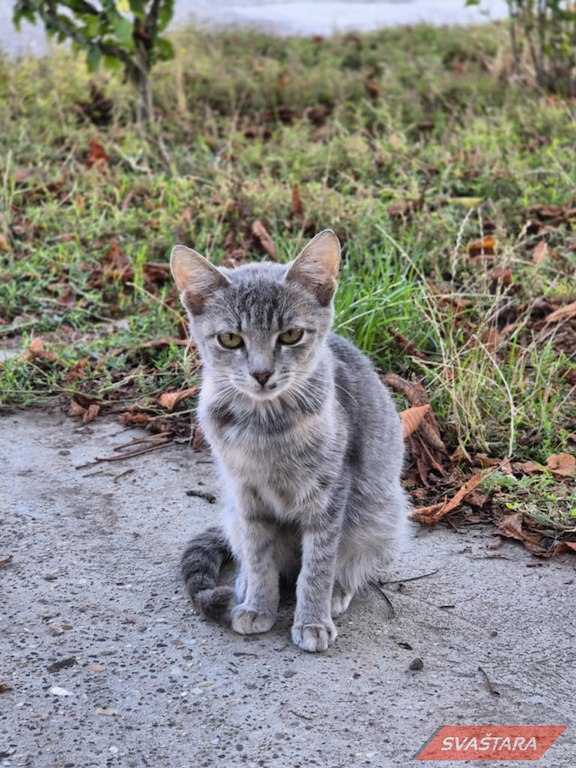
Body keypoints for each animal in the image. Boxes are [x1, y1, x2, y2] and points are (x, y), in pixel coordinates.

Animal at [170, 231, 404, 652]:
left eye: (291, 334)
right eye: (230, 339)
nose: (262, 373)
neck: (265, 430)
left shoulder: (330, 495)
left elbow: (318, 565)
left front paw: (312, 619)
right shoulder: (245, 496)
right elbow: (258, 556)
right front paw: (258, 605)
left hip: (379, 517)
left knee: (349, 563)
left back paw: (337, 591)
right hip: (232, 512)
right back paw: (244, 585)